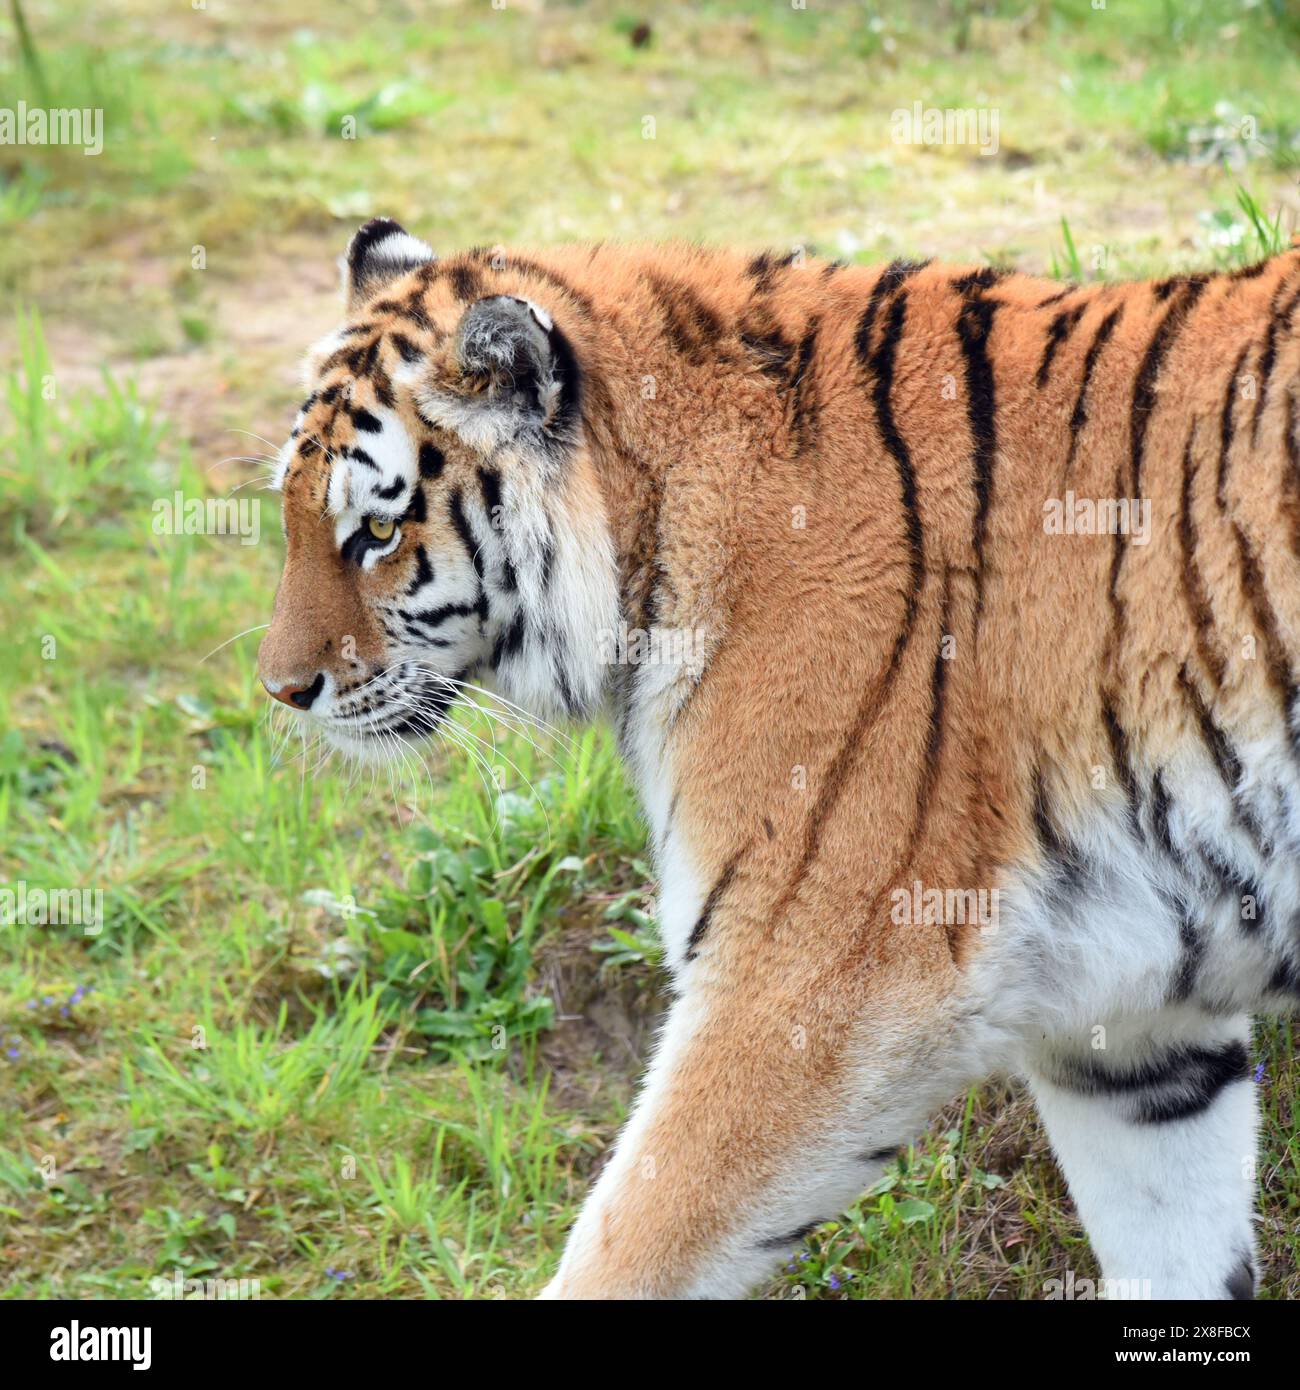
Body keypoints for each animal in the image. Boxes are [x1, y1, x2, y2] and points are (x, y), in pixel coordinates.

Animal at [258, 217, 1300, 1300]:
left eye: (377, 531)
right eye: (292, 515)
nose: (281, 689)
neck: (653, 537)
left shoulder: (813, 978)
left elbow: (629, 1244)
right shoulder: (1124, 1027)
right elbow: (1174, 1240)